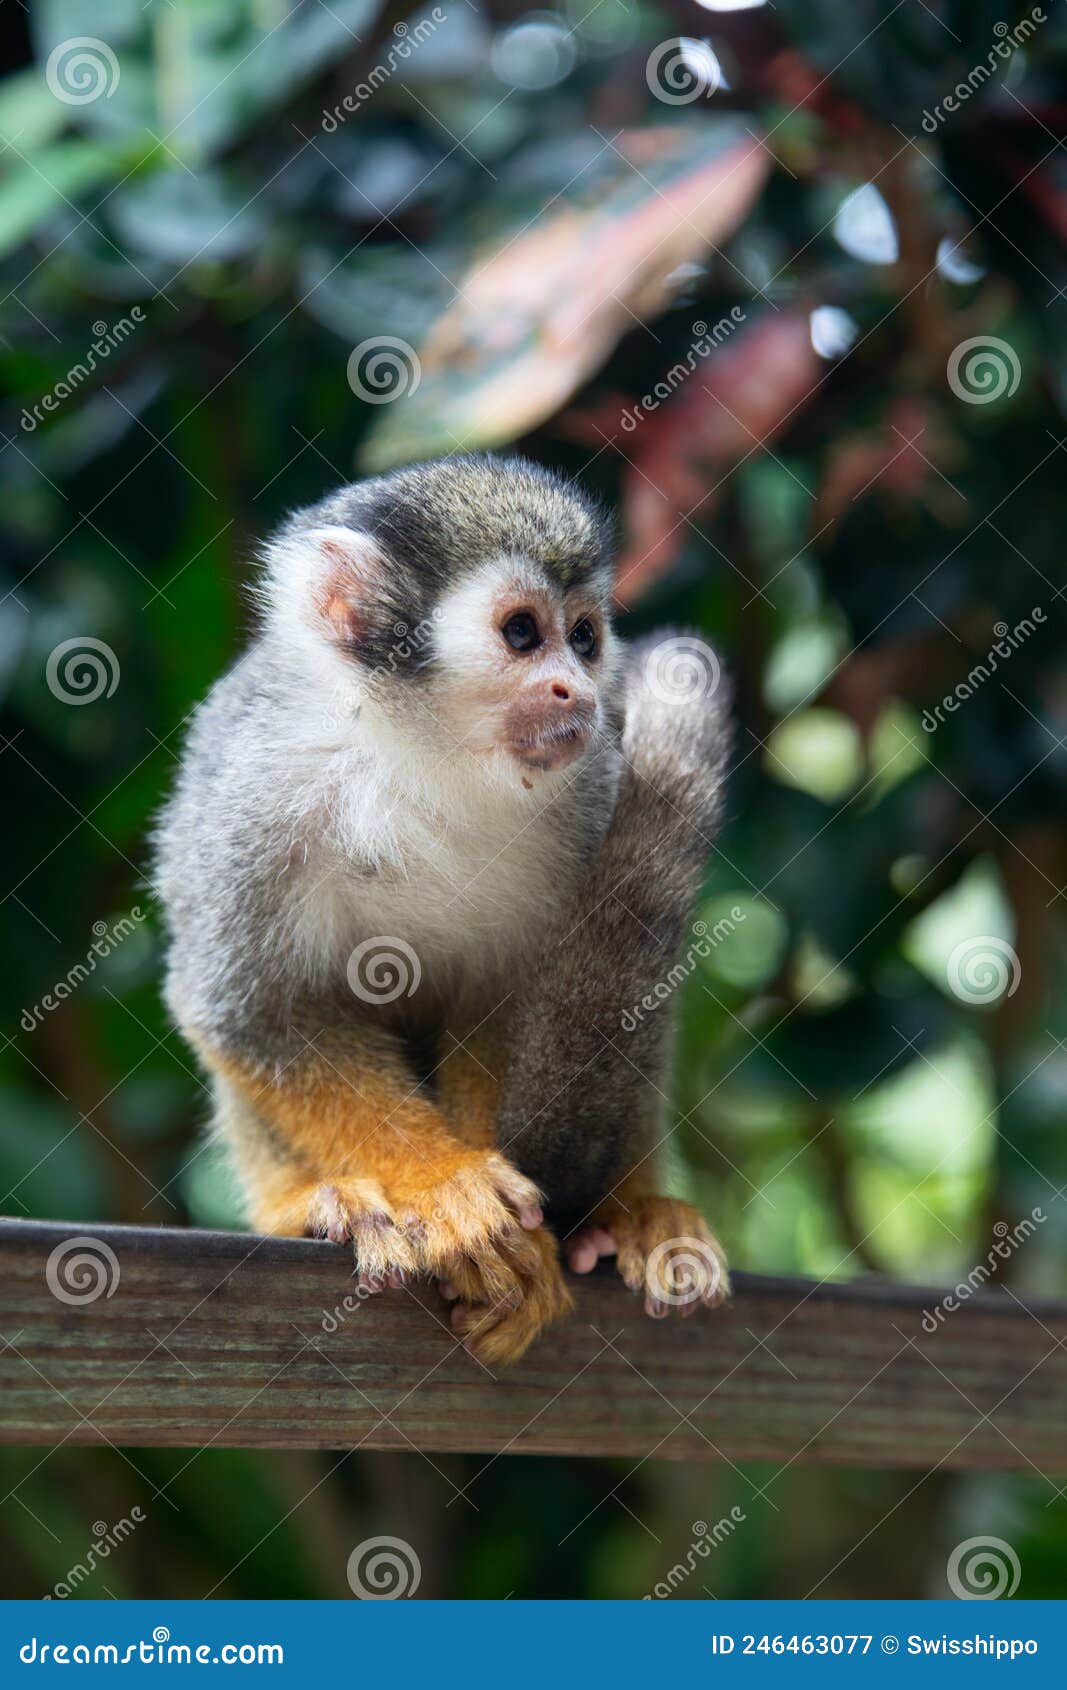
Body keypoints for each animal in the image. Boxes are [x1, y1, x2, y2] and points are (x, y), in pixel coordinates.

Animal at [154, 453, 730, 1366]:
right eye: (522, 633)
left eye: (584, 637)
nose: (574, 688)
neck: (418, 760)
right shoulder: (261, 795)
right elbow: (249, 1011)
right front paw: (442, 1185)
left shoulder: (586, 797)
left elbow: (501, 1002)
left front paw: (522, 1241)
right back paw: (311, 1208)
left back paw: (627, 1217)